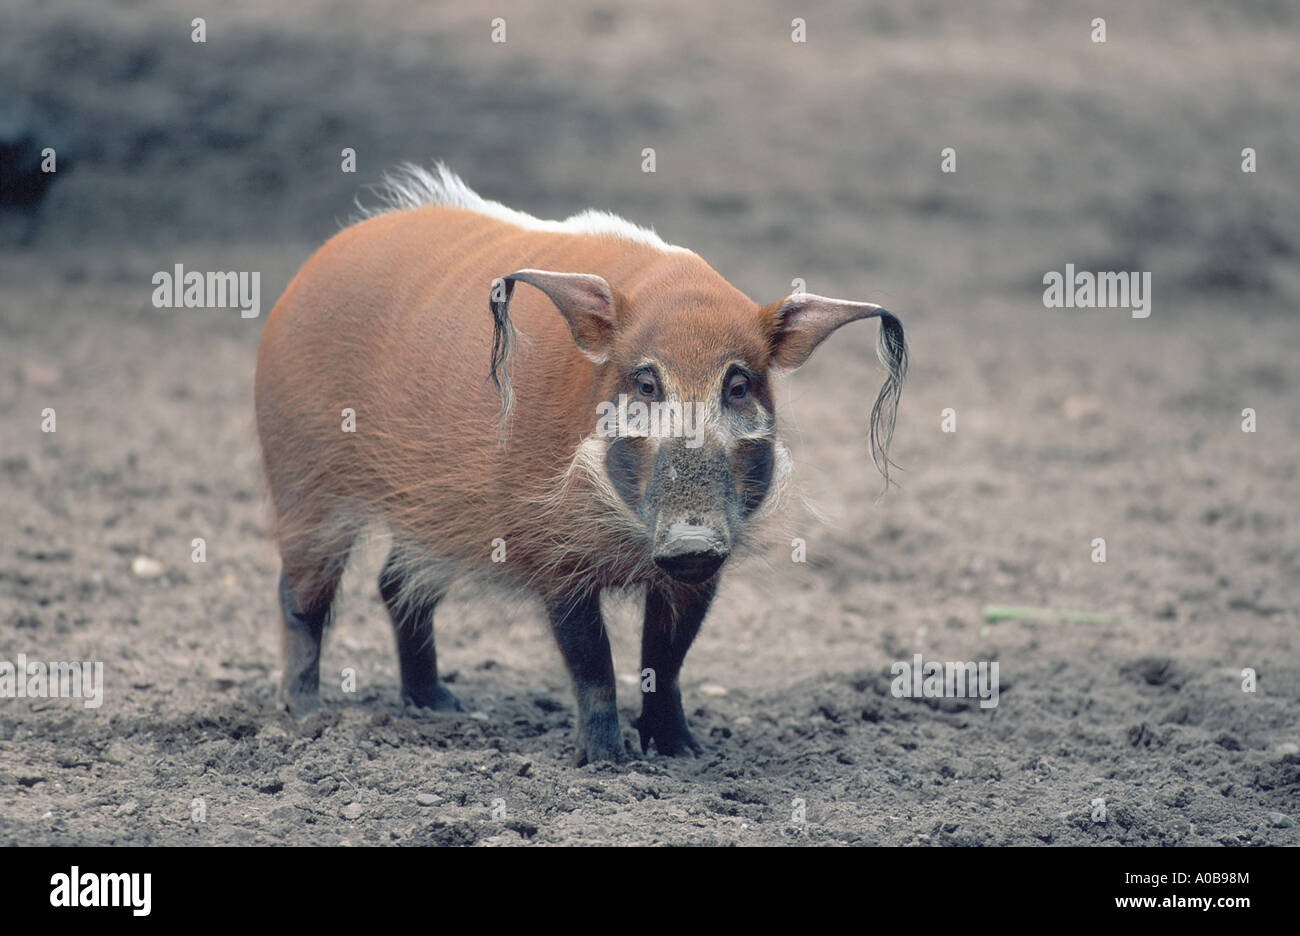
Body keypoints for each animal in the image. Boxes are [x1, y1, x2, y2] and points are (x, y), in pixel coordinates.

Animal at [254, 163, 906, 763]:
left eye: (740, 385)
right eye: (645, 382)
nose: (692, 537)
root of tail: (317, 263)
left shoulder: (702, 571)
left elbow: (665, 660)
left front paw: (684, 753)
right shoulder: (555, 554)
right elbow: (593, 663)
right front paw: (605, 762)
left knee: (394, 584)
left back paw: (442, 705)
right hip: (303, 480)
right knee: (300, 593)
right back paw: (305, 713)